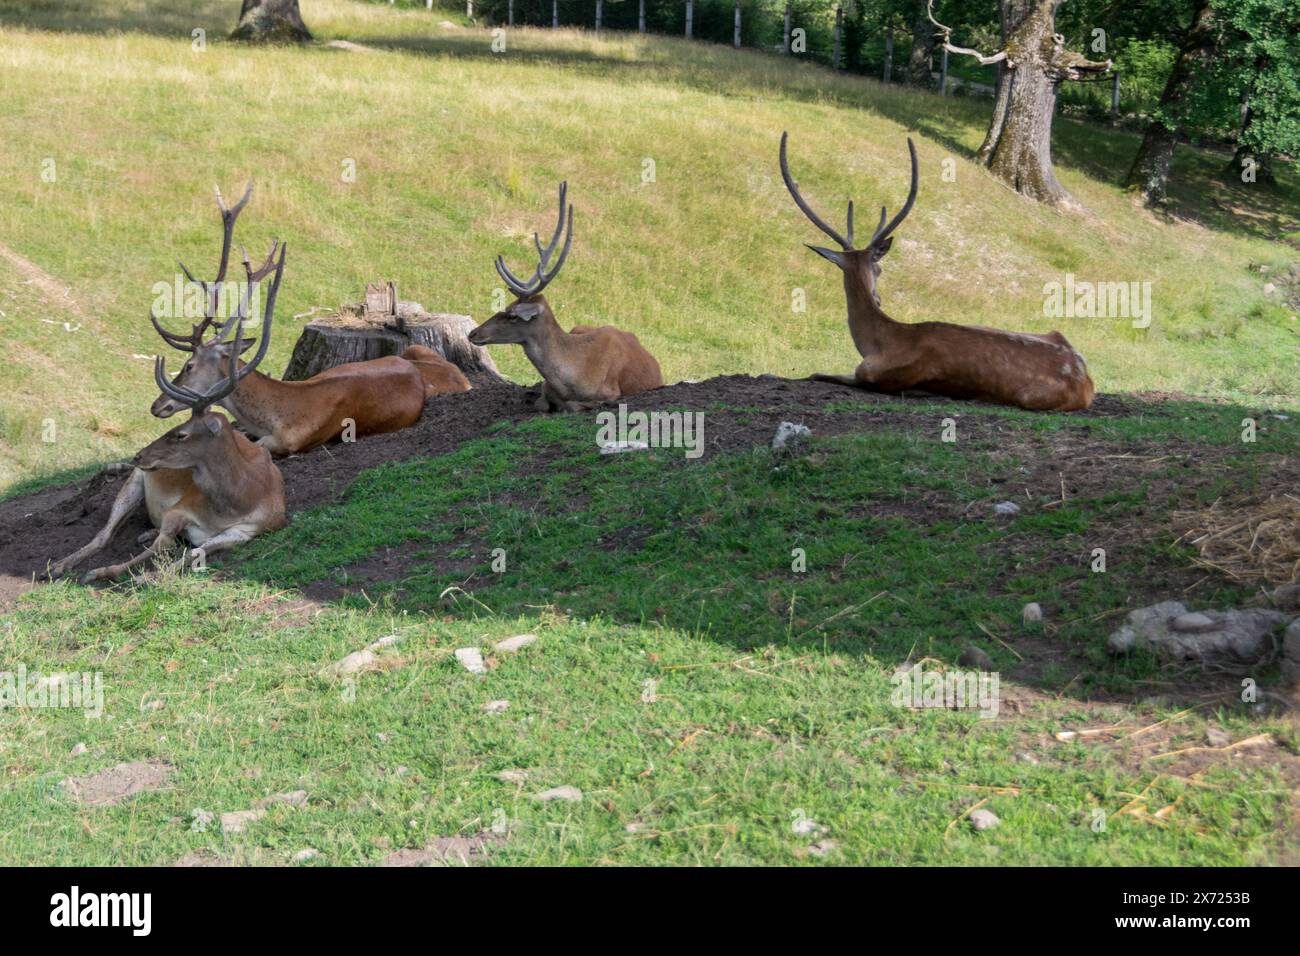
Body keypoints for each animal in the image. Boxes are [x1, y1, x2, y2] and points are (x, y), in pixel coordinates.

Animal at [48, 272, 287, 584]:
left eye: (181, 434)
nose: (139, 455)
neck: (237, 503)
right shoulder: (178, 508)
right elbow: (159, 547)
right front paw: (104, 572)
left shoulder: (248, 531)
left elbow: (193, 553)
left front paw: (146, 577)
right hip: (134, 481)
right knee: (104, 534)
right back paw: (59, 565)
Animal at [466, 182, 662, 412]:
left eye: (512, 315)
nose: (473, 333)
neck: (573, 376)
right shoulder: (546, 386)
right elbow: (542, 402)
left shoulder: (611, 392)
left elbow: (572, 405)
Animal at [779, 133, 1095, 412]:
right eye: (878, 268)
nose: (879, 297)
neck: (881, 343)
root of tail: (1088, 383)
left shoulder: (873, 375)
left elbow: (816, 373)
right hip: (1044, 331)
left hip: (1032, 396)